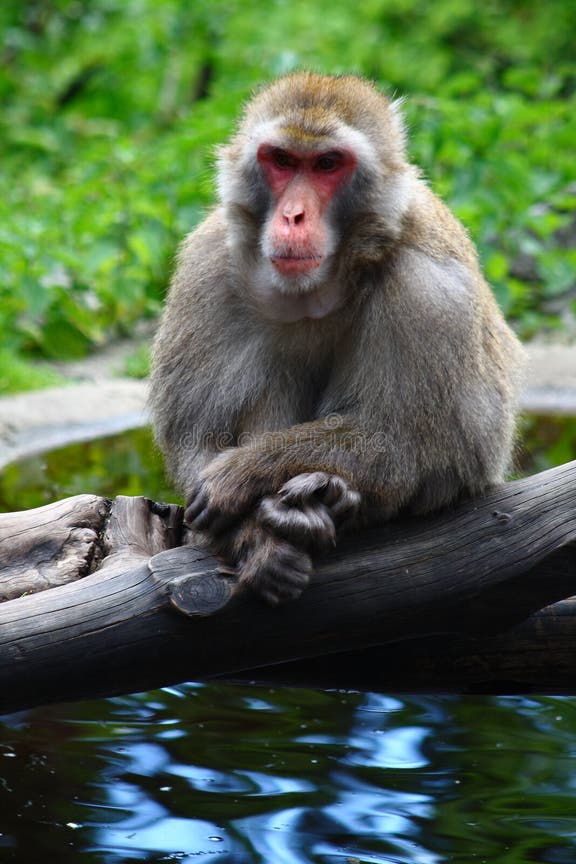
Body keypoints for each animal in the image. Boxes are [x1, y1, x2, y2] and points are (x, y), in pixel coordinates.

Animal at [150, 72, 525, 606]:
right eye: (282, 160)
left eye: (328, 164)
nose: (293, 216)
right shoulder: (206, 270)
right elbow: (198, 439)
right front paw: (260, 544)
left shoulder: (430, 293)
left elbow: (418, 446)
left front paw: (242, 473)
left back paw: (331, 500)